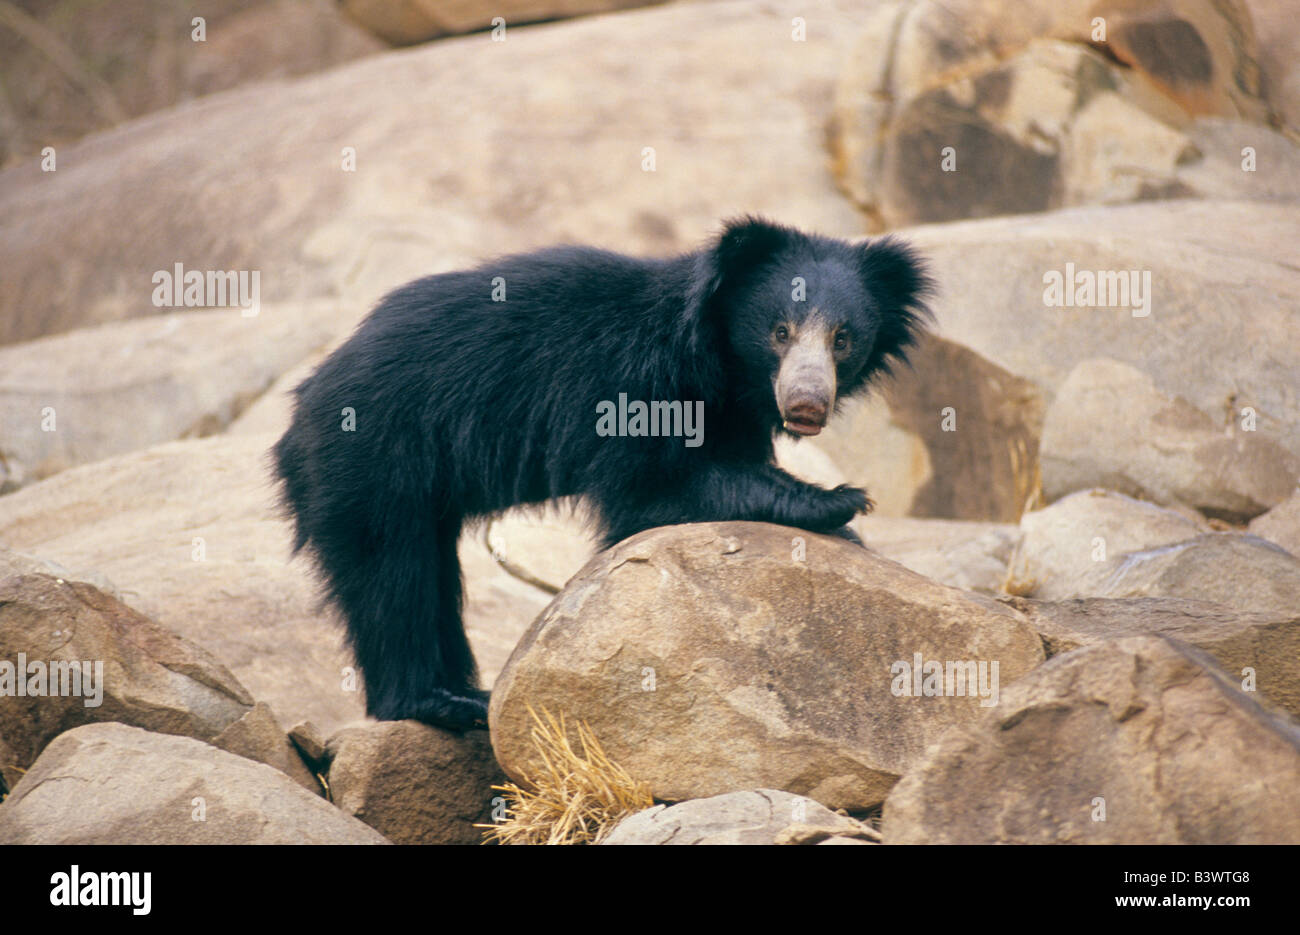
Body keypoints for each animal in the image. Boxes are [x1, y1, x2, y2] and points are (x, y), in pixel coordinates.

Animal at [272, 217, 932, 731]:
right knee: (390, 570)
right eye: (780, 331)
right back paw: (438, 701)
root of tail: (303, 403)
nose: (806, 406)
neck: (715, 361)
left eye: (843, 338)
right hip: (375, 455)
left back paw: (465, 689)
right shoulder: (627, 387)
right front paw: (838, 501)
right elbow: (649, 495)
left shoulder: (734, 414)